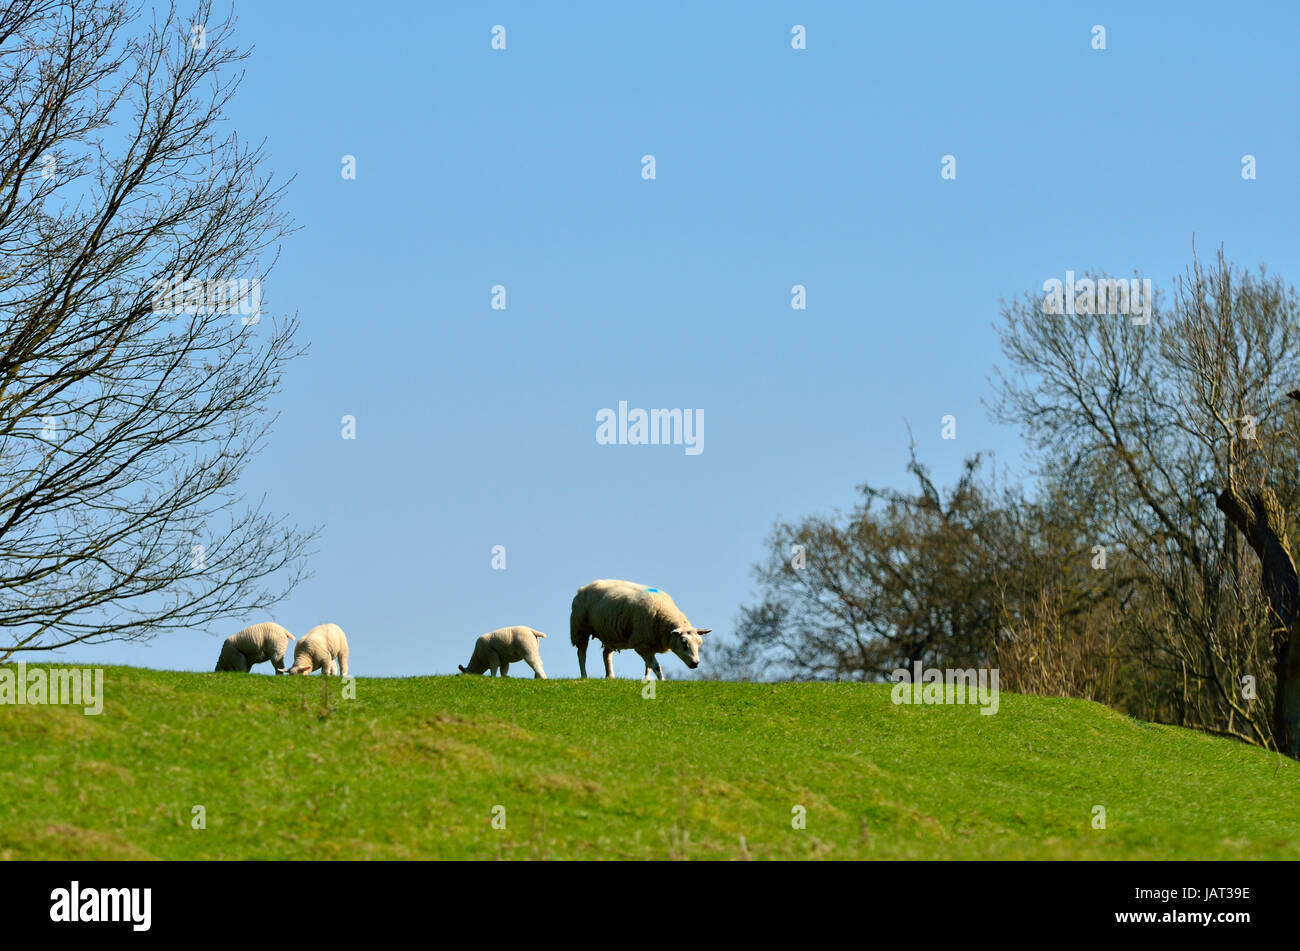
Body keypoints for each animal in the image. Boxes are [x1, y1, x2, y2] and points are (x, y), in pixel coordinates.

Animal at [569, 579, 711, 680]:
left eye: (699, 644)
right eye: (684, 643)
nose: (695, 663)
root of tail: (583, 588)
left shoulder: (648, 645)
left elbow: (648, 666)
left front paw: (647, 680)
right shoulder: (641, 645)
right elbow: (656, 666)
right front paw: (662, 680)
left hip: (611, 634)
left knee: (606, 654)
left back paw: (610, 677)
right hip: (580, 630)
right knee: (581, 655)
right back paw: (584, 676)